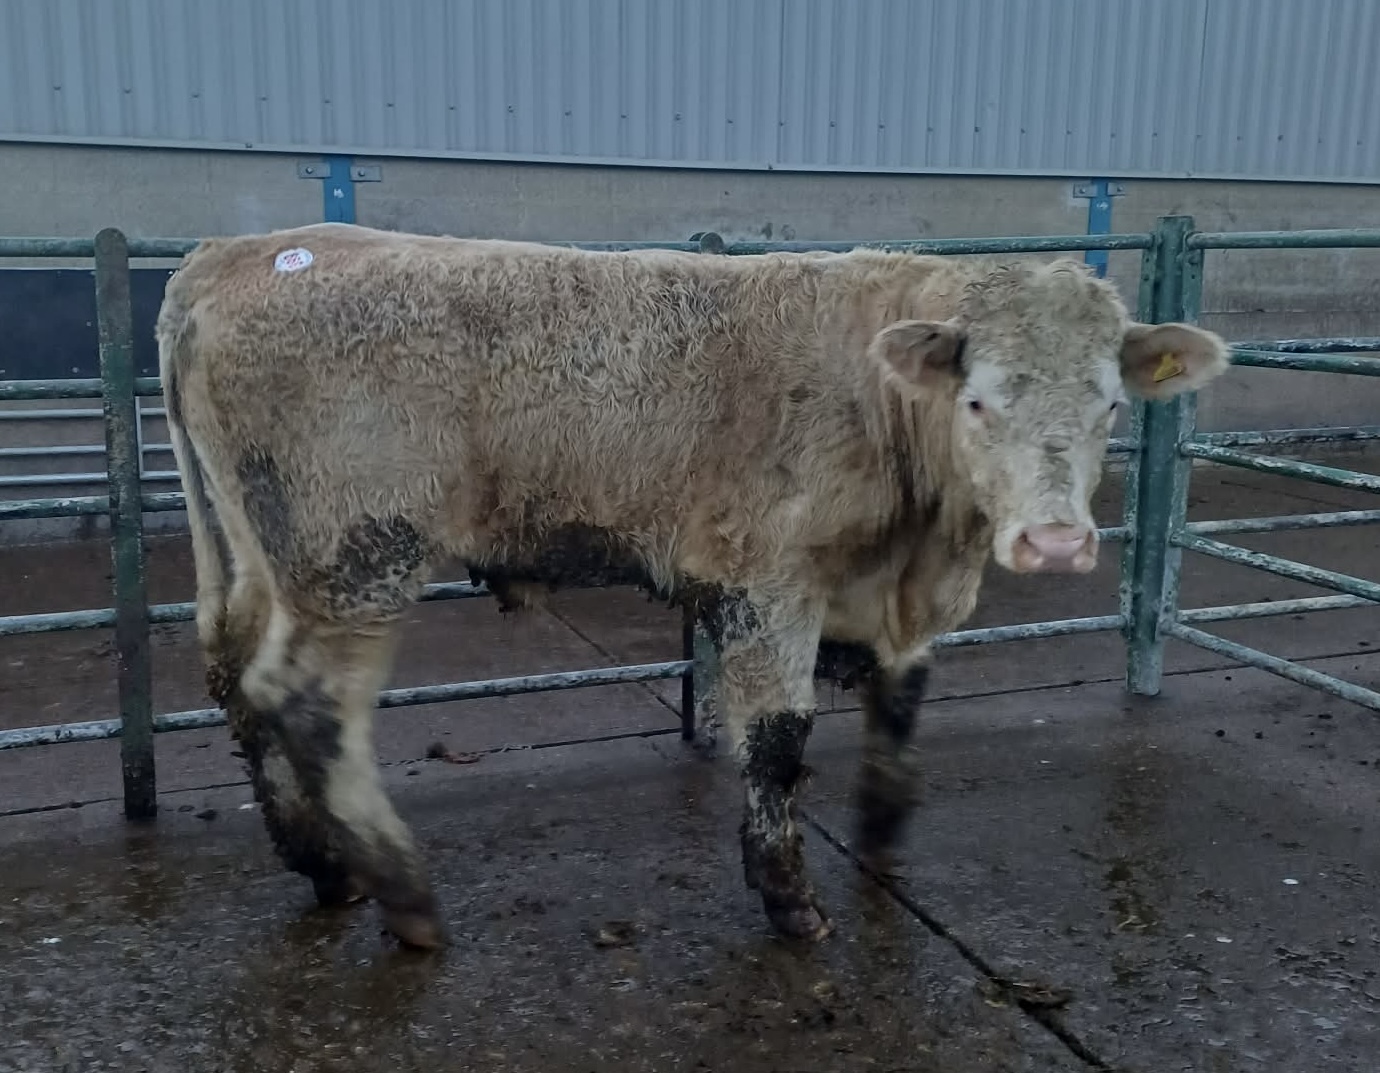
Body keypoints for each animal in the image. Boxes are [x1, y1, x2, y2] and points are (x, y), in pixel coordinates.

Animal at [156, 222, 1230, 950]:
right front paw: (788, 894)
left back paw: (321, 862)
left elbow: (901, 704)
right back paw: (402, 890)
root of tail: (241, 252)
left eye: (1109, 404)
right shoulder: (770, 581)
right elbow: (779, 740)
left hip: (259, 555)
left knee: (236, 675)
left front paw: (883, 835)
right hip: (356, 555)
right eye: (977, 399)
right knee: (305, 698)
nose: (1054, 541)